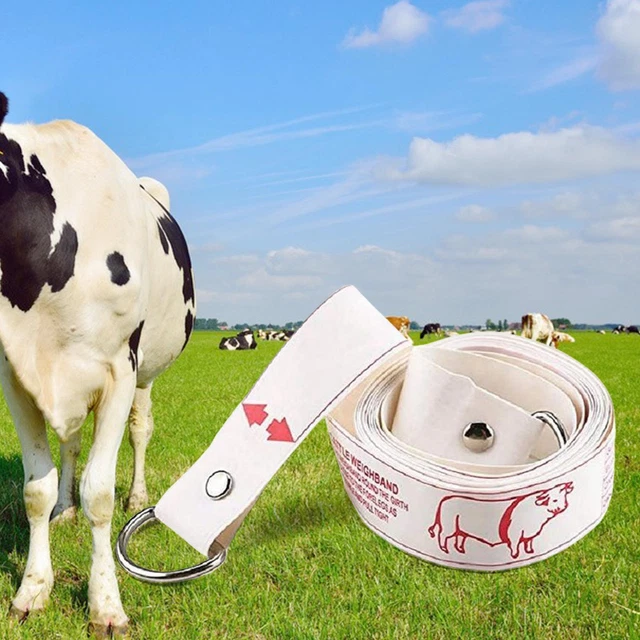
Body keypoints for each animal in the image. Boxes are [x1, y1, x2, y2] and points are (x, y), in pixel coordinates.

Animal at [0, 94, 195, 636]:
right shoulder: (16, 376)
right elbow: (36, 490)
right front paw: (31, 590)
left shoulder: (119, 369)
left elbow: (101, 494)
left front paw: (105, 604)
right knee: (70, 444)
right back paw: (66, 509)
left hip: (146, 371)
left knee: (141, 430)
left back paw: (138, 497)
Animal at [428, 482, 574, 559]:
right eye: (554, 499)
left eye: (565, 496)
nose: (565, 506)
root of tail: (445, 499)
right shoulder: (515, 536)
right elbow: (515, 547)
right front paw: (515, 556)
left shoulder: (530, 535)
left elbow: (528, 543)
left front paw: (530, 552)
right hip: (449, 527)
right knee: (442, 536)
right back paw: (444, 549)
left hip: (461, 530)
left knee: (459, 539)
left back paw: (461, 550)